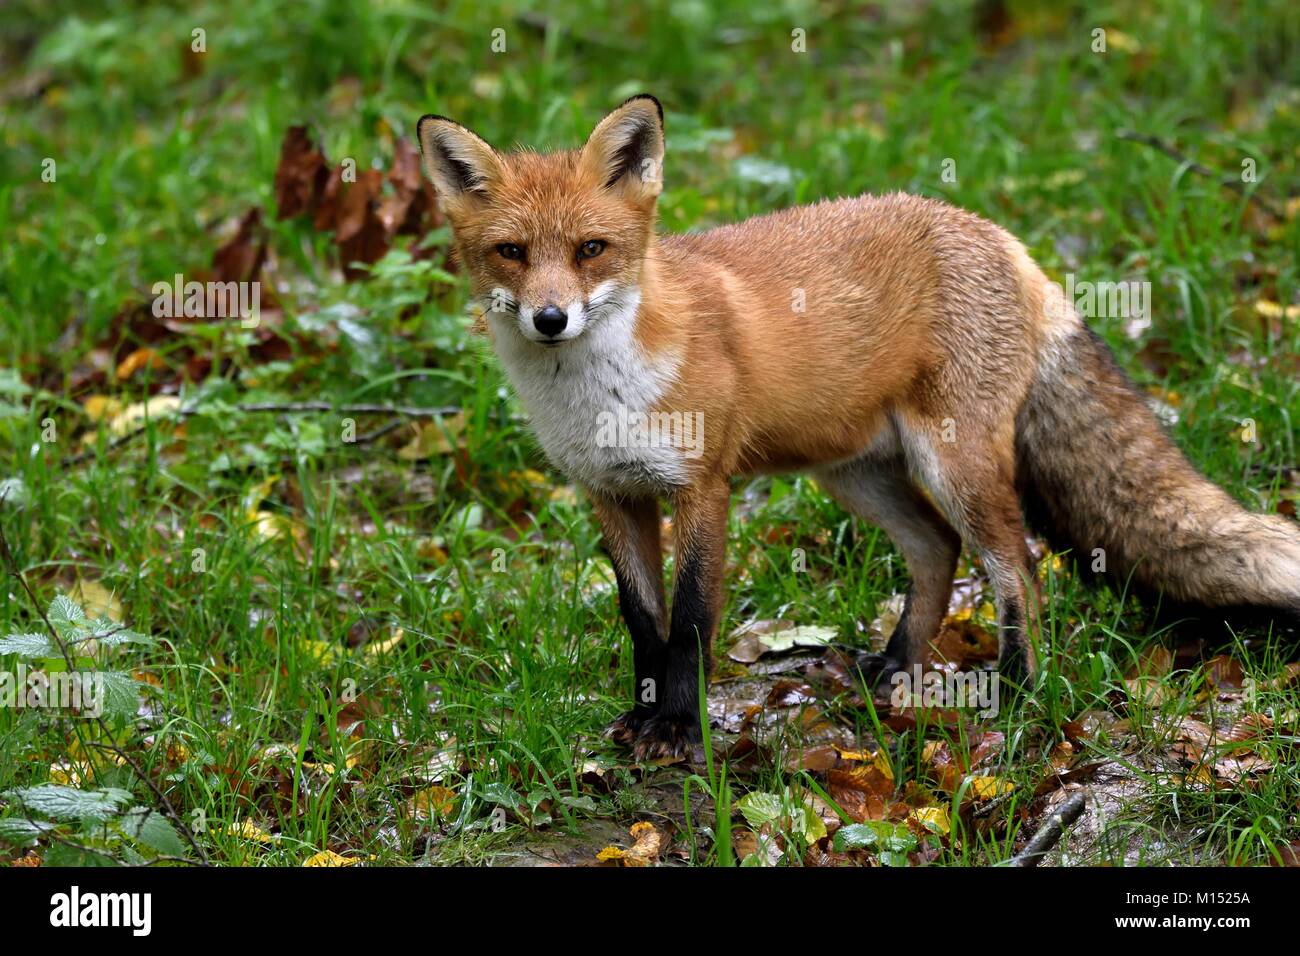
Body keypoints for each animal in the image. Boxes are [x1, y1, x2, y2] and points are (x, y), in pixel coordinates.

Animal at [416, 94, 1300, 759]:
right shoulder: (612, 494)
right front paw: (642, 717)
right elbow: (645, 622)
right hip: (856, 474)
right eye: (512, 253)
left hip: (953, 464)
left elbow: (693, 623)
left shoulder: (703, 488)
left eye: (592, 249)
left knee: (1018, 566)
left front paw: (680, 731)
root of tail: (997, 234)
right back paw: (897, 667)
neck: (601, 394)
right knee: (938, 550)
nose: (550, 319)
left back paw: (1018, 691)